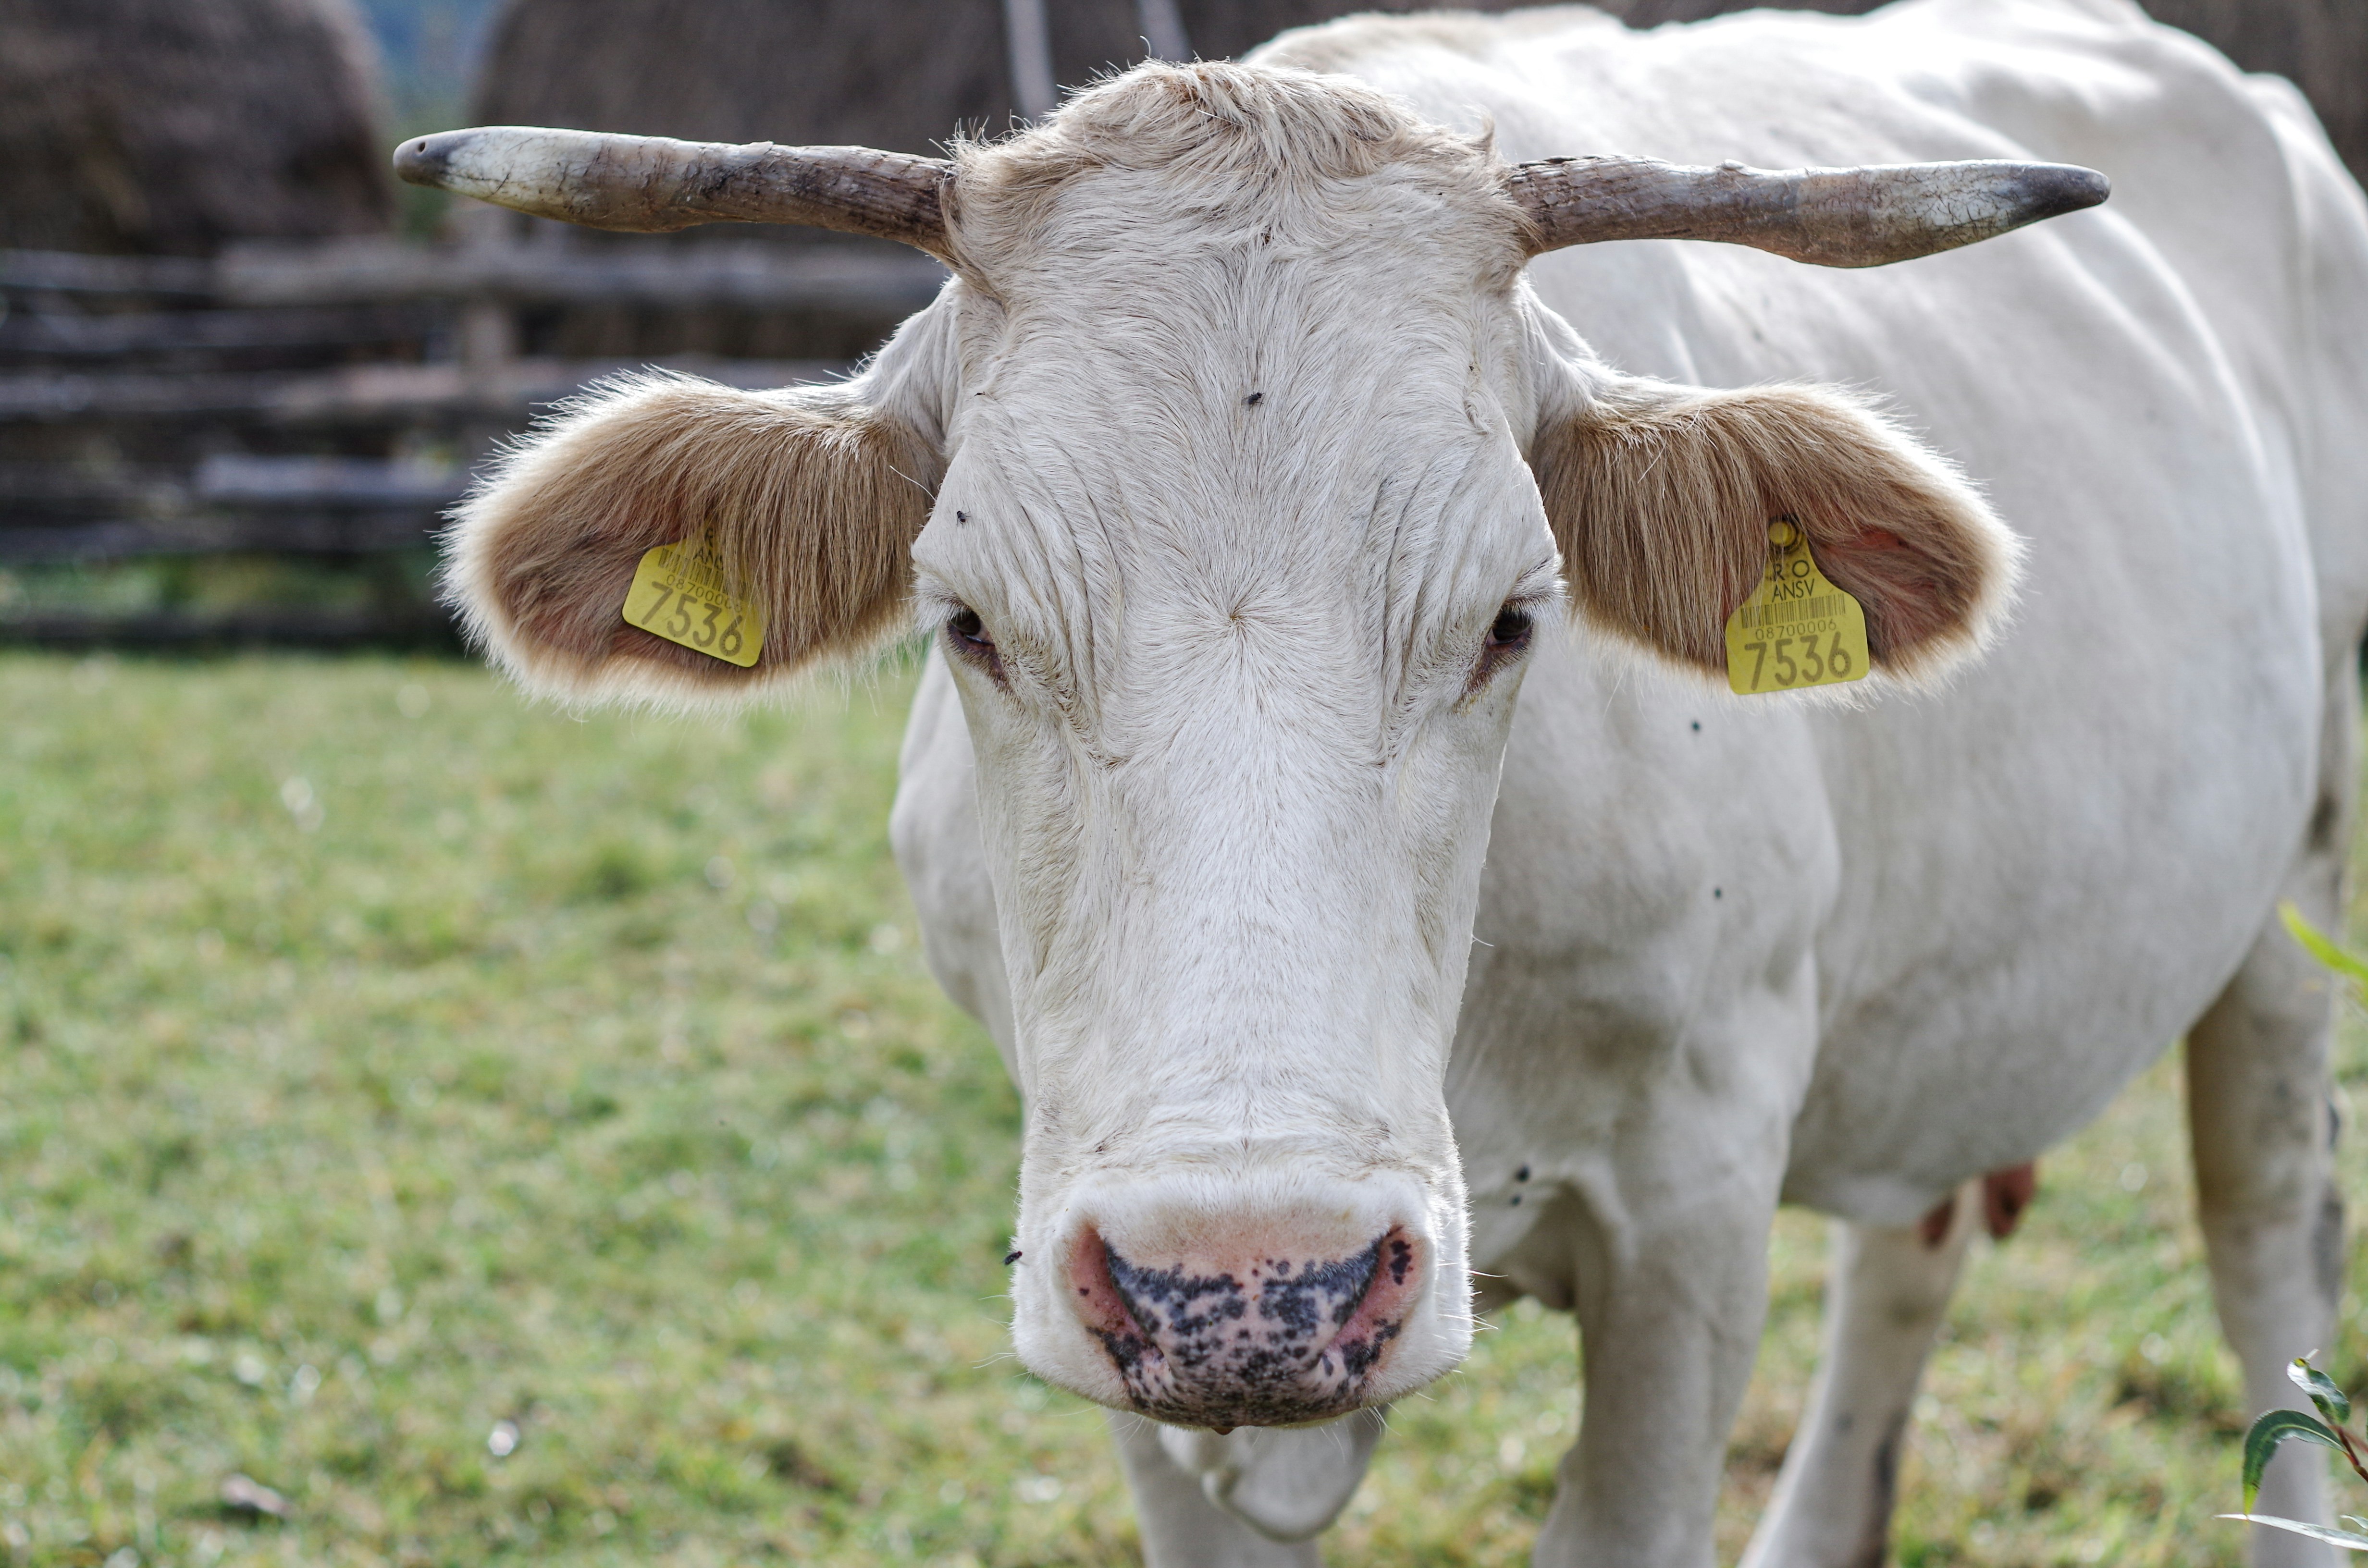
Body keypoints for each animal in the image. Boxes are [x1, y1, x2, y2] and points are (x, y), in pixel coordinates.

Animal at [395, 0, 2368, 1561]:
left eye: (1510, 617)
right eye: (967, 620)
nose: (1254, 1280)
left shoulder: (1694, 1207)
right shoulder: (1090, 1254)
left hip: (2295, 890)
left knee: (2263, 1249)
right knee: (1921, 1246)